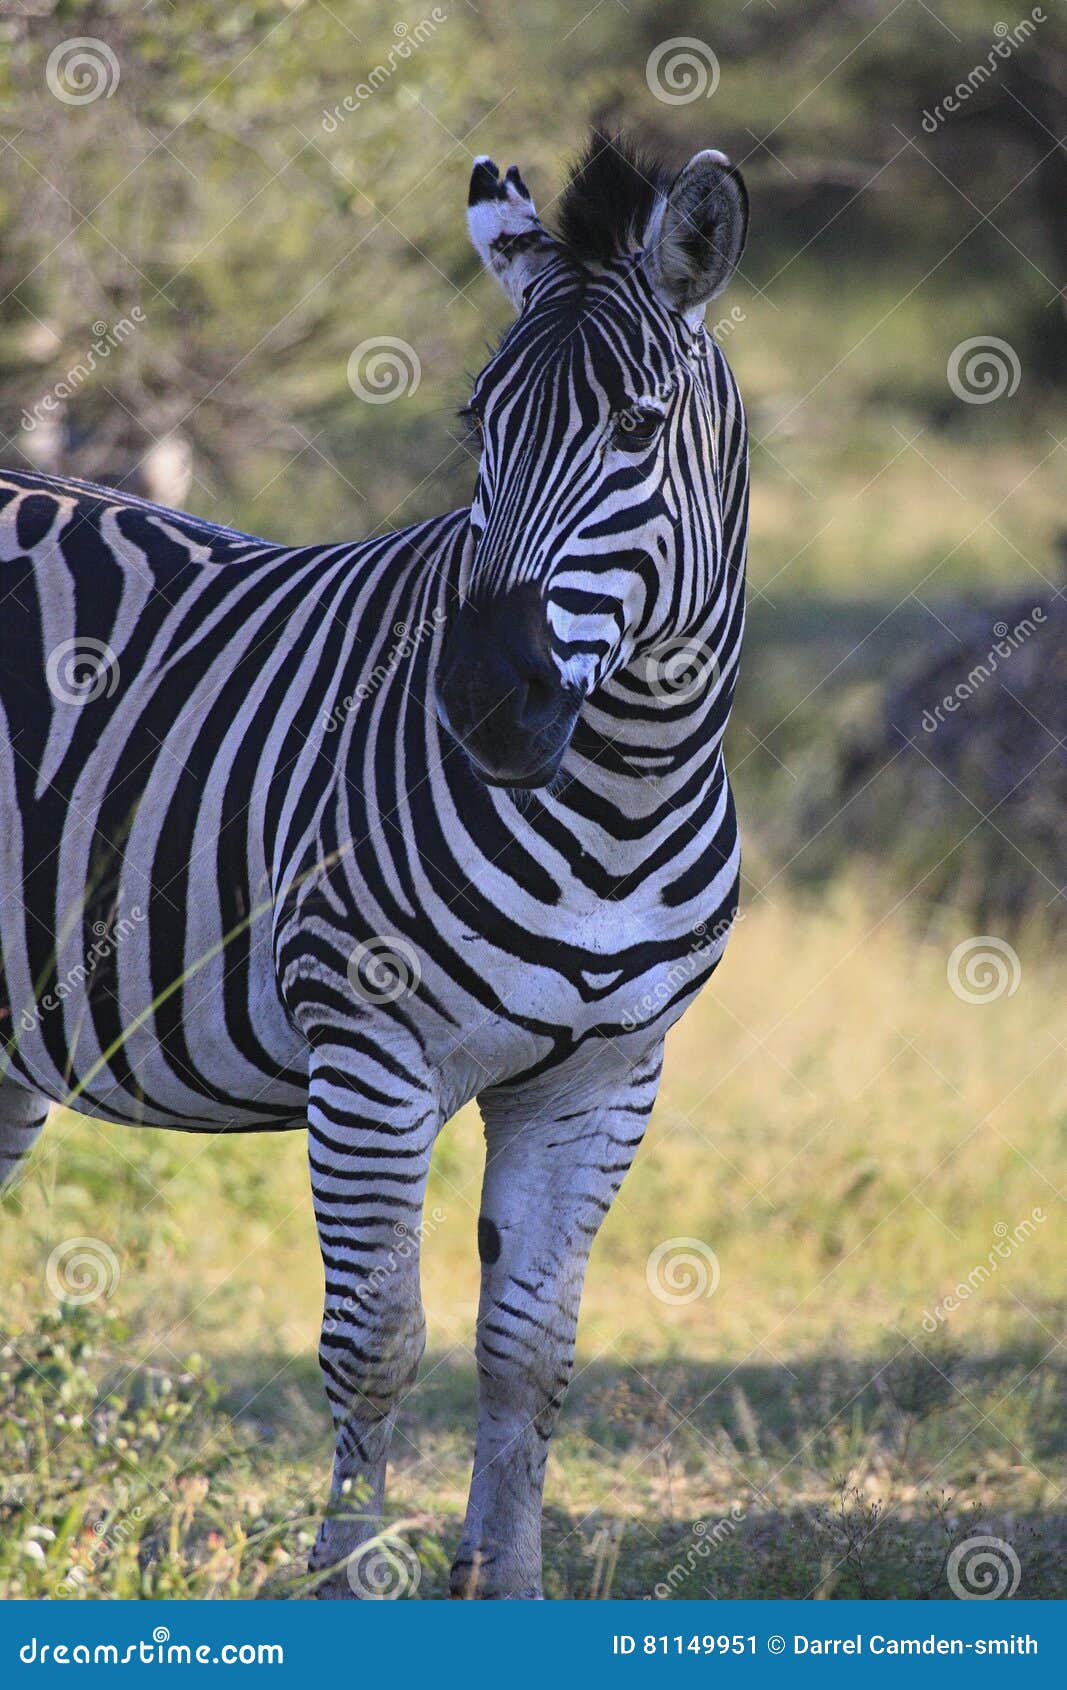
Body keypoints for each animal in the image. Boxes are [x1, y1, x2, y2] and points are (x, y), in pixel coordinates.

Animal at [0, 132, 749, 1599]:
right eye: (474, 426)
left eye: (635, 431)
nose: (484, 703)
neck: (620, 790)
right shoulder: (367, 1048)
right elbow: (376, 1345)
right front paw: (348, 1579)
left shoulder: (604, 1077)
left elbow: (526, 1356)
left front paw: (506, 1587)